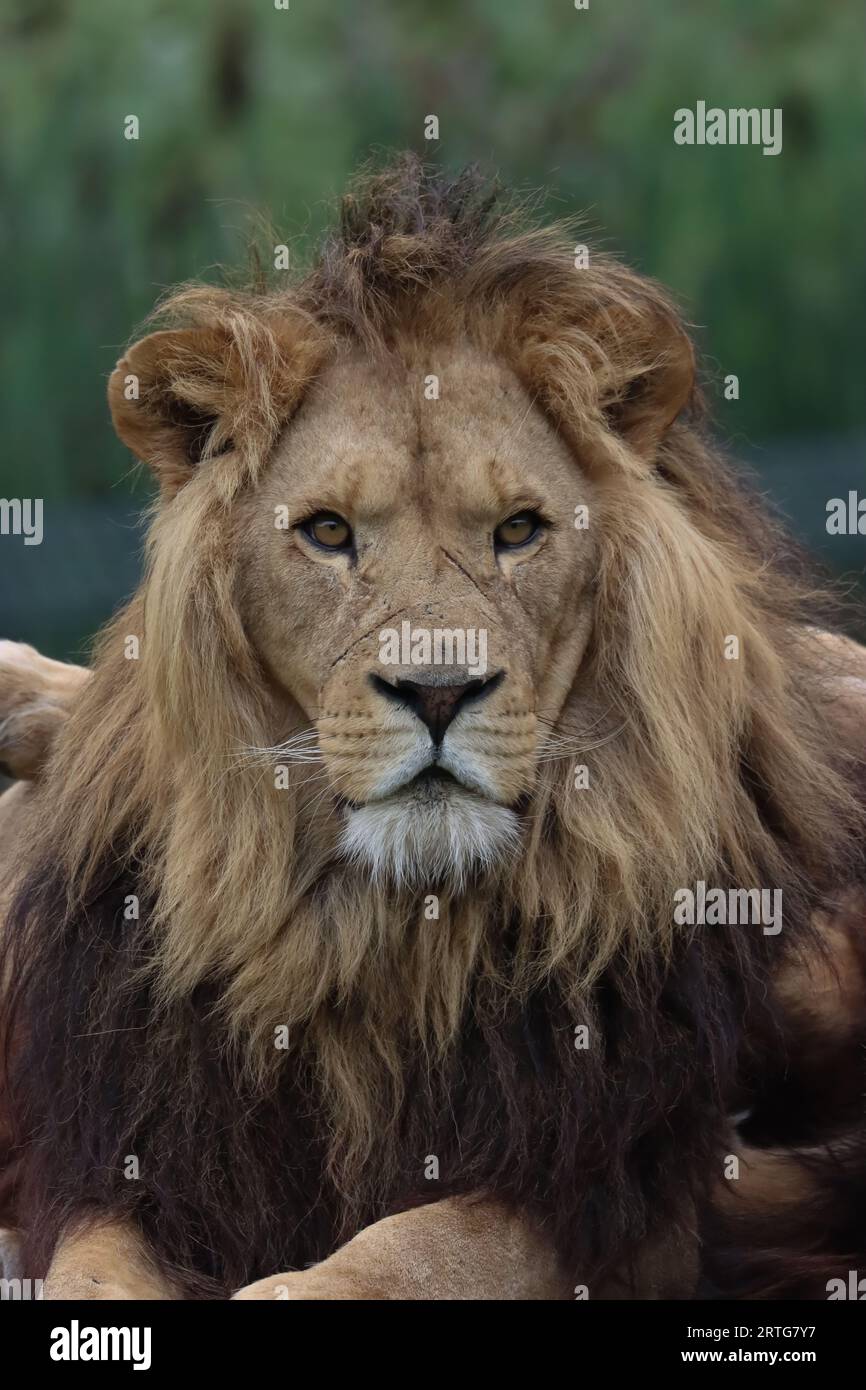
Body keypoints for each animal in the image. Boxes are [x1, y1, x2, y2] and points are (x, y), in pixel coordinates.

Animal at [1, 156, 865, 1300]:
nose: (440, 693)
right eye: (327, 532)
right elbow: (92, 1274)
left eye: (519, 531)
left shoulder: (613, 1191)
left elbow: (414, 1247)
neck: (378, 930)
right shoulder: (137, 1150)